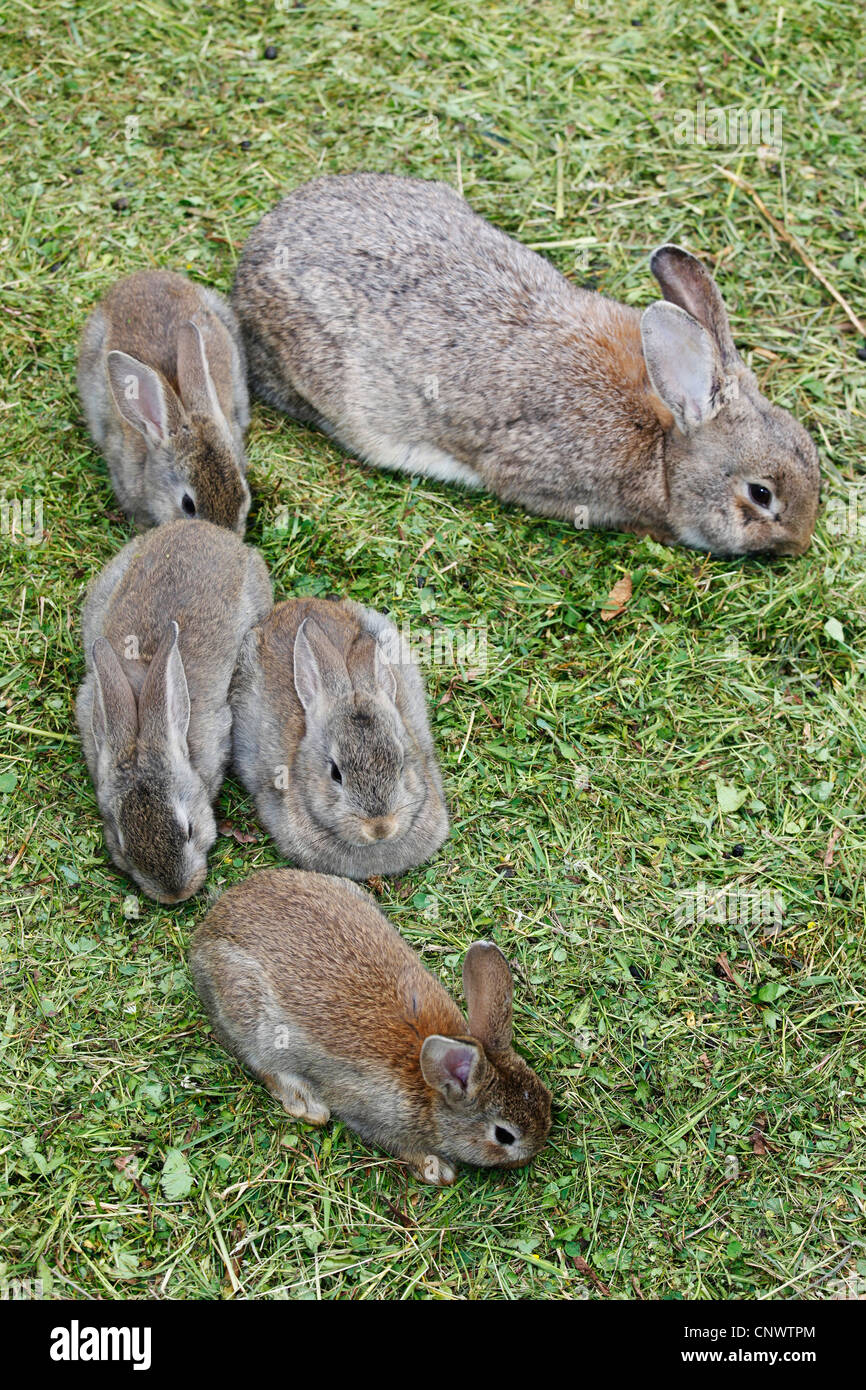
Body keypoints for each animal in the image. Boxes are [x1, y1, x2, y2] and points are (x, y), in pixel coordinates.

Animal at [189, 868, 552, 1184]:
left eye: (546, 1098)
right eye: (504, 1135)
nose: (534, 1151)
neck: (430, 1092)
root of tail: (210, 927)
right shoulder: (371, 1115)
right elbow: (395, 1143)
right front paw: (437, 1169)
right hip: (249, 1017)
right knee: (262, 1065)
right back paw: (309, 1107)